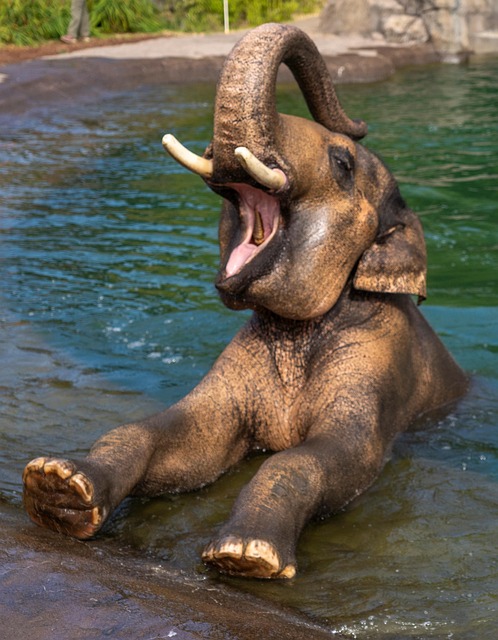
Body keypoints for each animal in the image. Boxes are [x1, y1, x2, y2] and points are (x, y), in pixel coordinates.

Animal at [23, 23, 468, 579]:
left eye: (343, 163)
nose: (359, 123)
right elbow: (186, 432)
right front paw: (57, 484)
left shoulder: (381, 363)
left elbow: (332, 453)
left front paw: (245, 555)